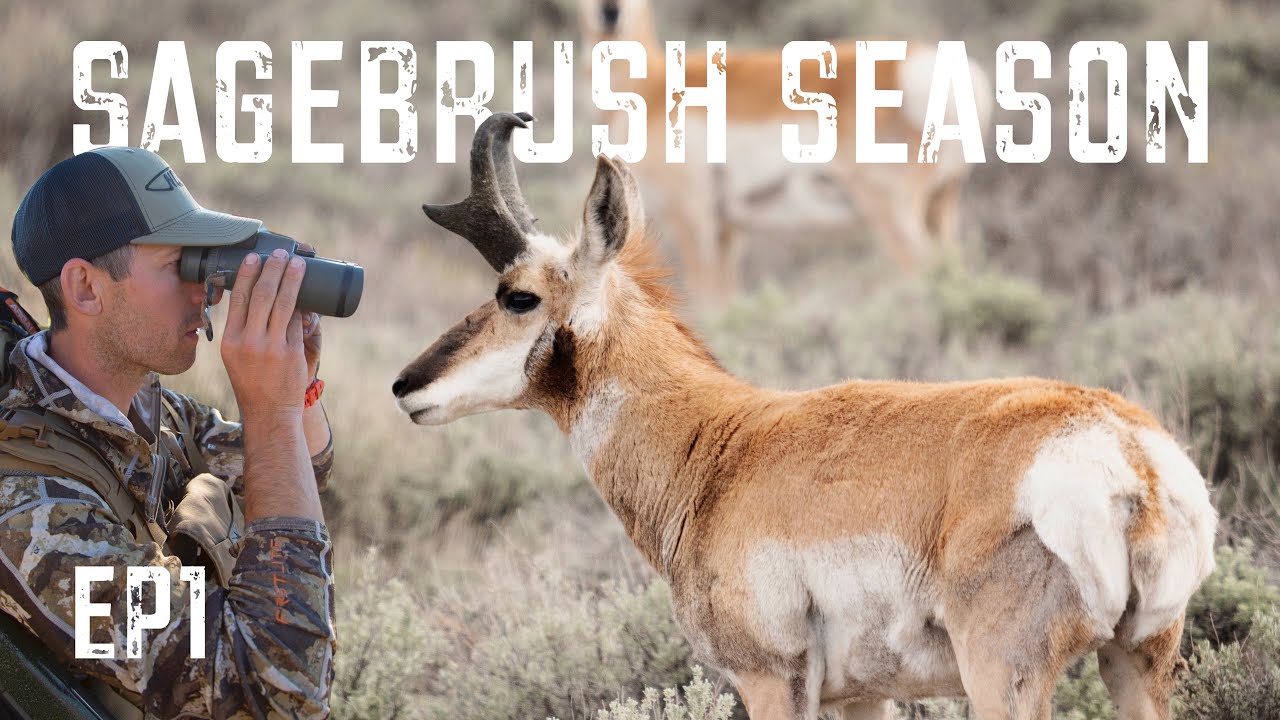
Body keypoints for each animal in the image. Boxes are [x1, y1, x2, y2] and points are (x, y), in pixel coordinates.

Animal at [393, 113, 1218, 719]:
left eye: (518, 295)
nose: (406, 385)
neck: (722, 445)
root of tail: (1129, 456)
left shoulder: (770, 680)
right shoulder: (864, 698)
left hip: (1002, 679)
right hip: (1138, 665)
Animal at [579, 0, 993, 302]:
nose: (610, 11)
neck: (651, 85)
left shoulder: (694, 224)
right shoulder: (729, 233)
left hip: (893, 215)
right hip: (942, 207)